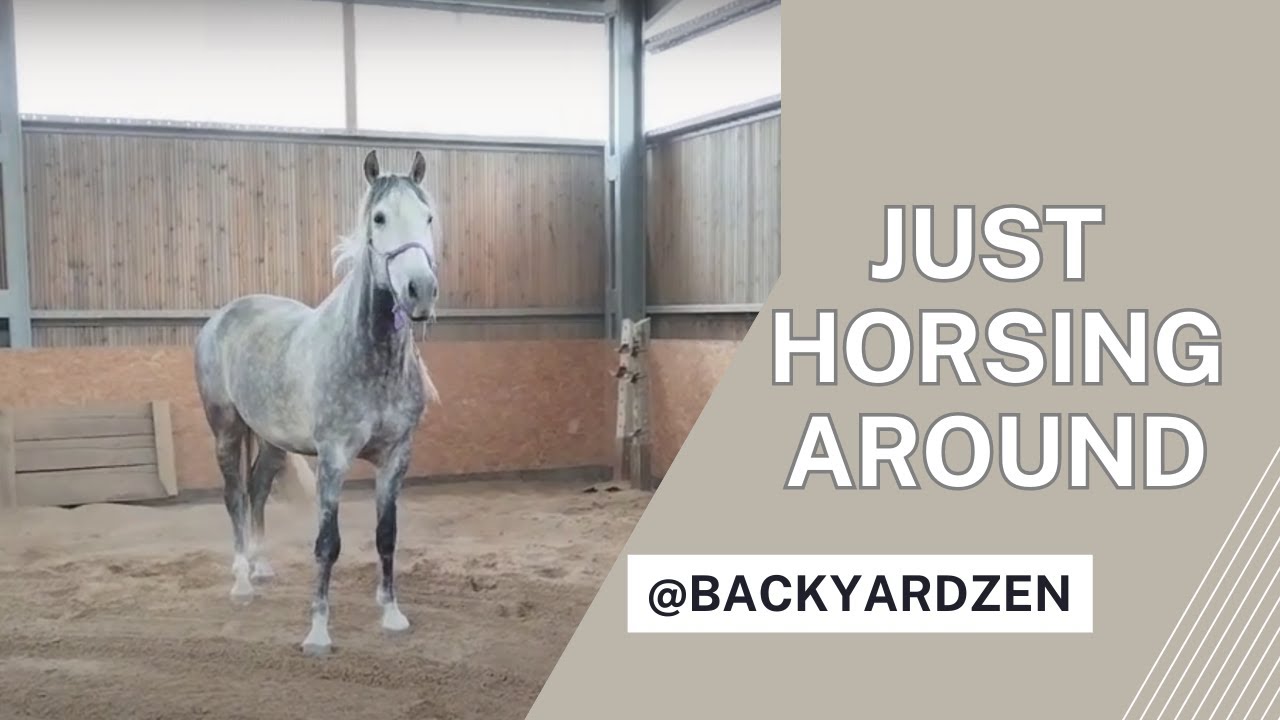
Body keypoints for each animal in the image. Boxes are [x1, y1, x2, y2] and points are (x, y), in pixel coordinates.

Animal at [193, 149, 440, 656]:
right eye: (379, 217)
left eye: (427, 217)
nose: (420, 291)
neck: (369, 358)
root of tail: (221, 318)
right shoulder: (334, 459)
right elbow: (328, 543)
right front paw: (318, 633)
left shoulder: (396, 457)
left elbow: (387, 536)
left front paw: (392, 615)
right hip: (225, 428)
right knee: (234, 495)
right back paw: (242, 580)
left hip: (271, 440)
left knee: (257, 489)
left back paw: (262, 566)